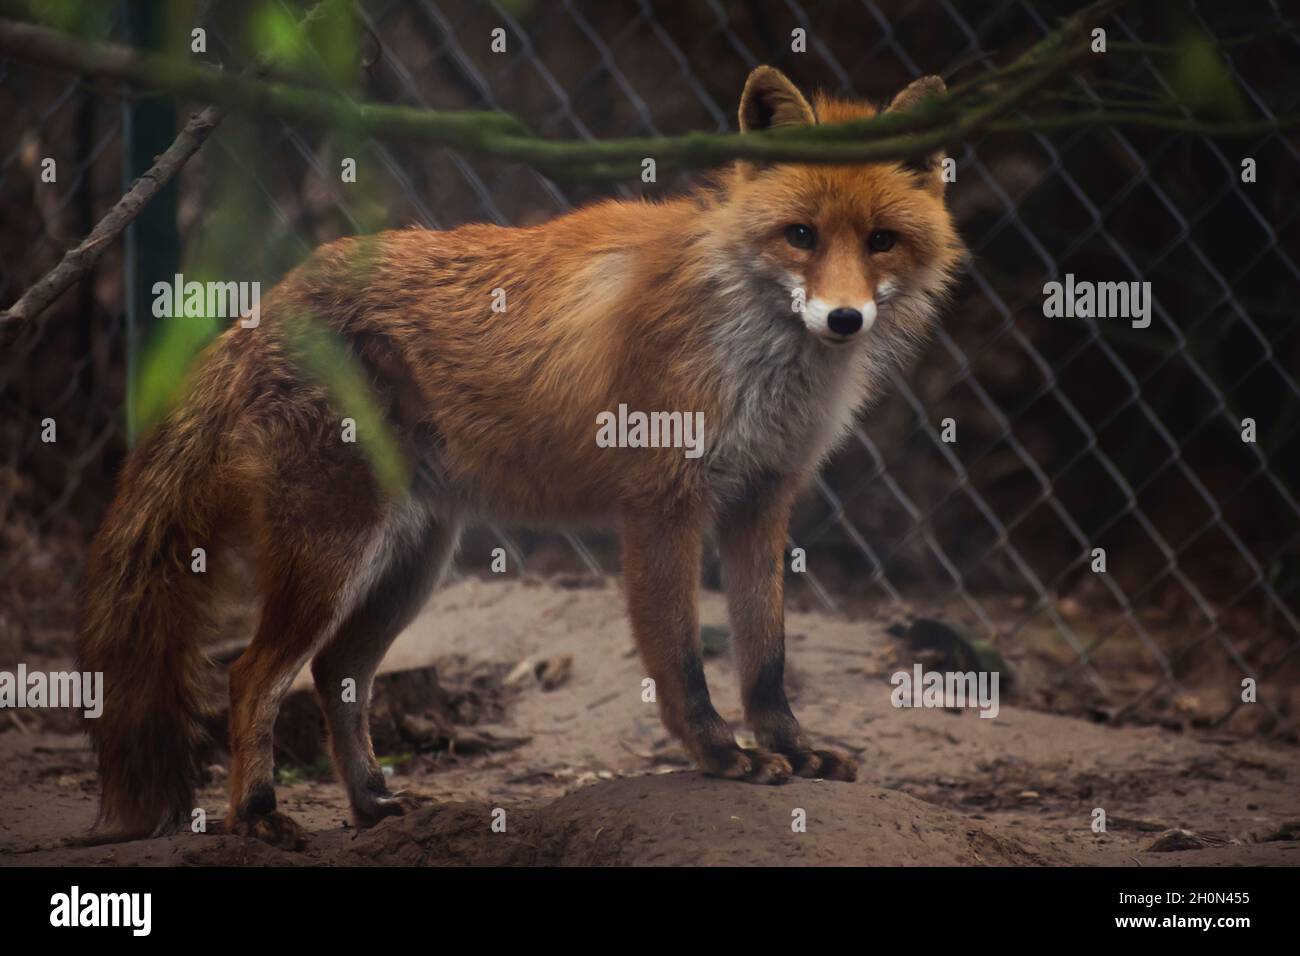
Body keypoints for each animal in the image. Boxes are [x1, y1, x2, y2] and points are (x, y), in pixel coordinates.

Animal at [77, 65, 964, 845]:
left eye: (881, 241)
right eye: (800, 236)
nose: (844, 319)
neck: (753, 346)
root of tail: (268, 301)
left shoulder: (762, 500)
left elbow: (767, 659)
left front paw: (791, 749)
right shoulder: (663, 504)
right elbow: (681, 660)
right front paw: (720, 755)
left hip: (413, 560)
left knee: (334, 674)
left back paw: (371, 804)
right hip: (336, 549)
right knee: (250, 677)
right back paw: (258, 817)